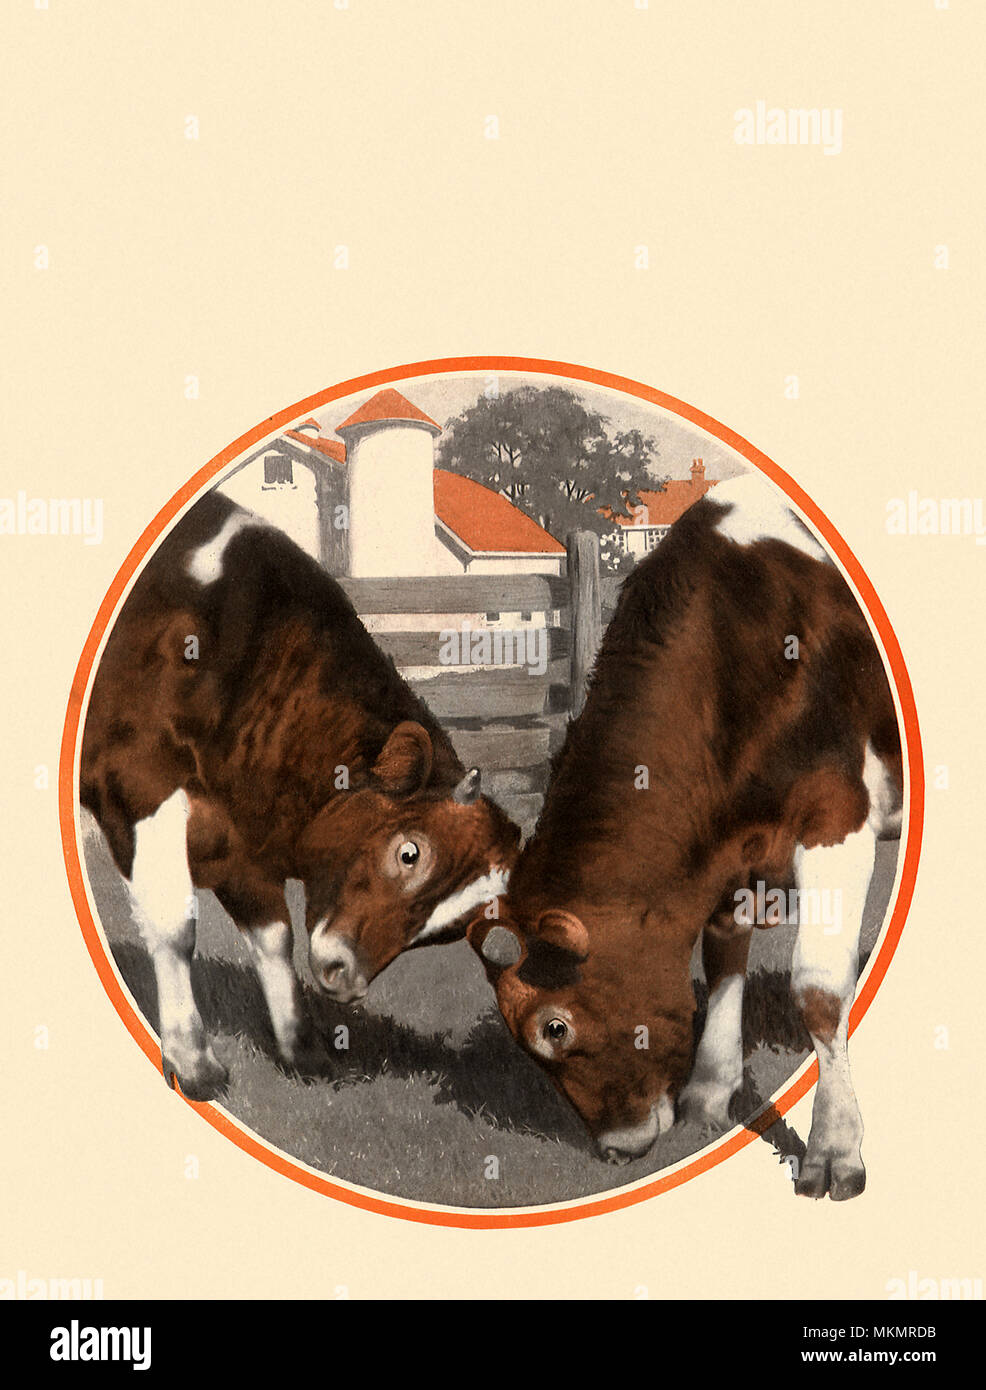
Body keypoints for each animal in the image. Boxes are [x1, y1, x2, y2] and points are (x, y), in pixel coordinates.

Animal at [81, 491, 519, 1100]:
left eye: (451, 928)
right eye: (409, 853)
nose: (345, 978)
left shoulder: (240, 841)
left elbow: (274, 938)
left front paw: (303, 1051)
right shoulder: (138, 785)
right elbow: (175, 927)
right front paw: (194, 1061)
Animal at [468, 474, 903, 1200]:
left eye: (554, 1027)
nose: (615, 1149)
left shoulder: (838, 817)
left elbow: (817, 991)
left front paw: (835, 1148)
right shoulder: (730, 845)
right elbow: (724, 953)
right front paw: (710, 1090)